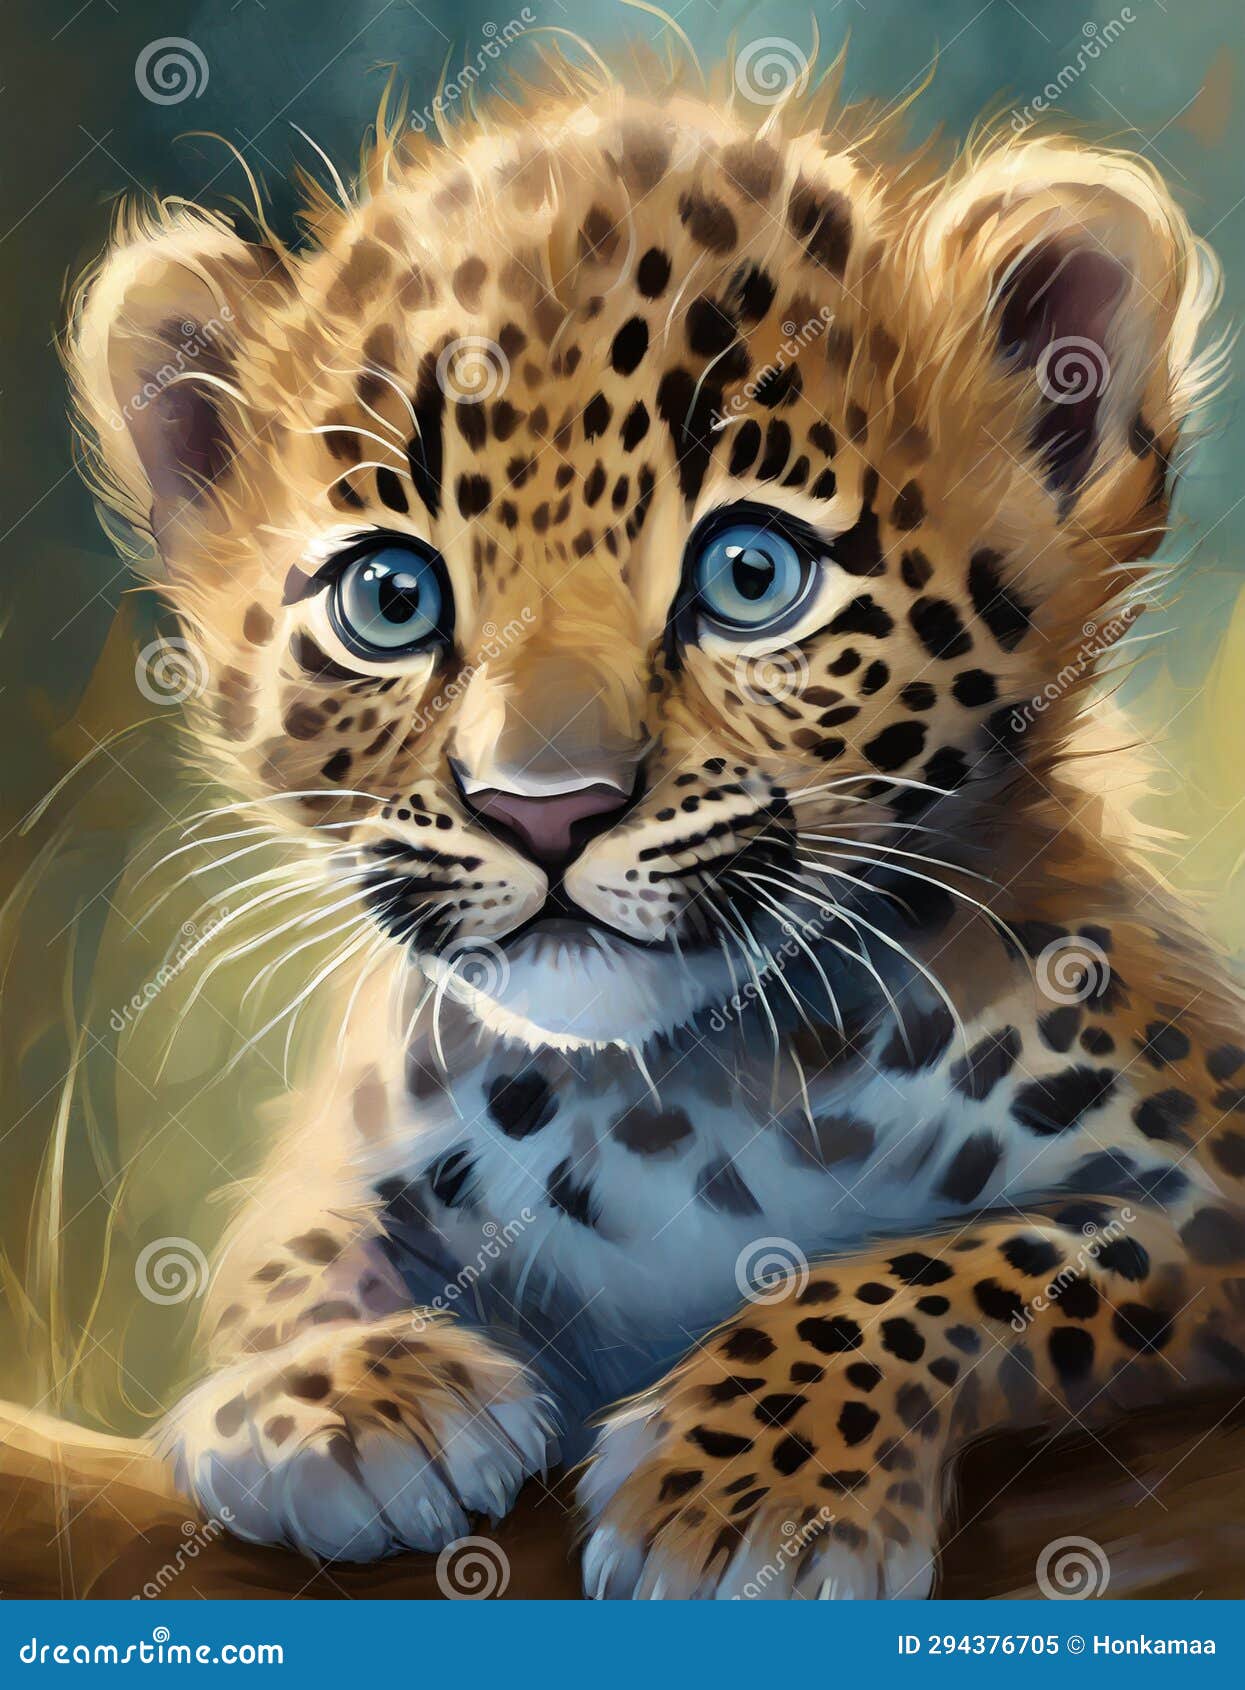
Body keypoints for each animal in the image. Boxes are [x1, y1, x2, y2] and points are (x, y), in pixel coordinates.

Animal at [65, 56, 1245, 1599]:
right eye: (390, 597)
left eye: (751, 574)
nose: (542, 806)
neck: (679, 1098)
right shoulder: (363, 1125)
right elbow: (287, 1231)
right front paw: (336, 1391)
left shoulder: (1208, 1176)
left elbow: (978, 1260)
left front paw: (758, 1483)